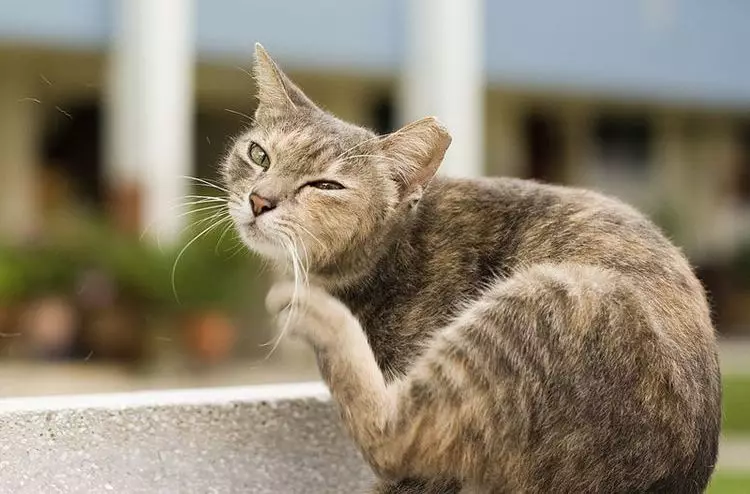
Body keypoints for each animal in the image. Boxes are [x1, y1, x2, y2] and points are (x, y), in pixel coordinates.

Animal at [222, 44, 724, 492]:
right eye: (259, 155)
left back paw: (313, 313)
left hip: (554, 297)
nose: (260, 199)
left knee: (393, 438)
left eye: (326, 186)